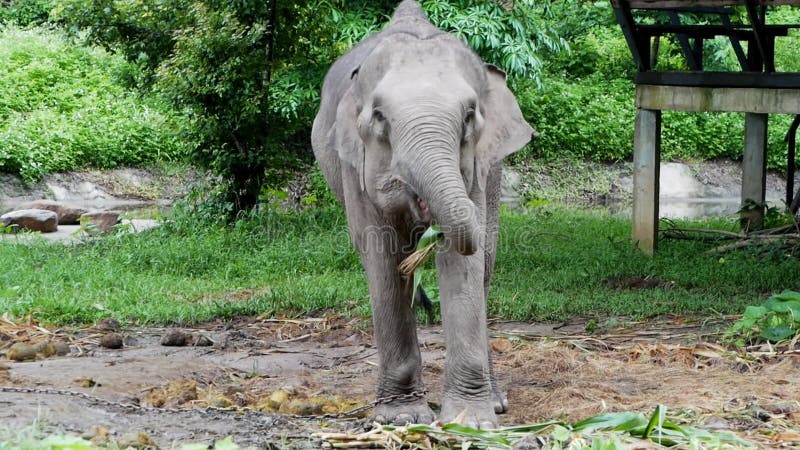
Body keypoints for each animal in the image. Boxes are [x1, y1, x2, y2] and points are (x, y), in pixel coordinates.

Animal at [311, 0, 533, 429]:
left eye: (469, 115)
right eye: (379, 117)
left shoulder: (479, 168)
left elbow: (465, 262)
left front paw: (470, 422)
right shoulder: (354, 168)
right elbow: (382, 258)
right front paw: (400, 418)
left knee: (487, 262)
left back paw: (496, 401)